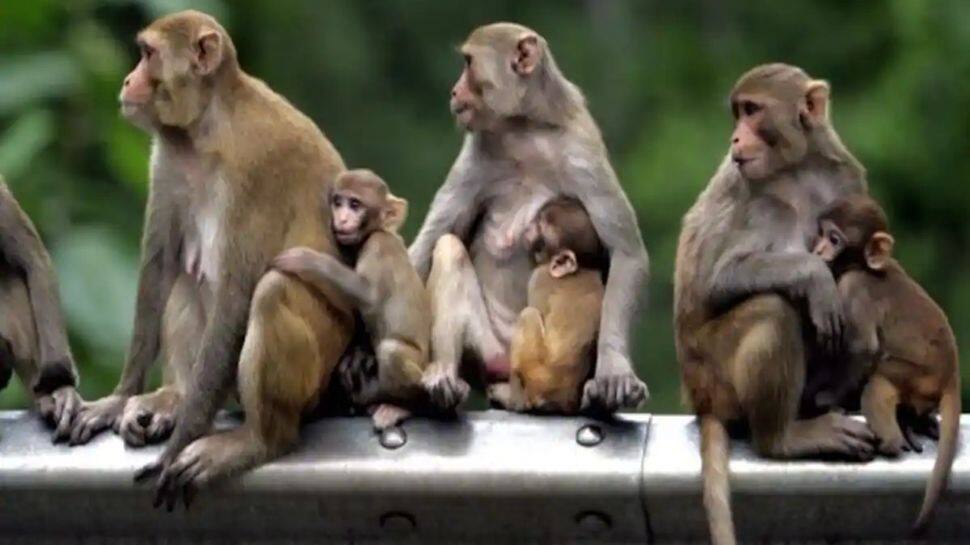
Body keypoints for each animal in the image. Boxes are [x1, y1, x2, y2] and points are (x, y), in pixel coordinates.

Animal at [66, 11, 354, 509]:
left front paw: (179, 445)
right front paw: (118, 398)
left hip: (315, 377)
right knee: (185, 279)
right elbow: (160, 265)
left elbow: (238, 292)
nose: (127, 80)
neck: (204, 129)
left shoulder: (256, 170)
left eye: (147, 55)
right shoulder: (167, 158)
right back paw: (175, 396)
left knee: (273, 291)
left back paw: (258, 440)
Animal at [273, 169, 430, 430]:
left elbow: (368, 295)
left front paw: (308, 261)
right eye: (338, 202)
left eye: (355, 205)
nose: (343, 218)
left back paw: (406, 407)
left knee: (392, 351)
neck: (378, 231)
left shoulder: (376, 247)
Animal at [488, 197, 605, 414]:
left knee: (528, 315)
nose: (529, 227)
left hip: (536, 374)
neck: (580, 269)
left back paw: (515, 401)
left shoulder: (539, 277)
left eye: (541, 225)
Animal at [674, 64, 878, 545]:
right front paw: (815, 276)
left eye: (752, 111)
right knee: (773, 308)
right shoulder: (757, 196)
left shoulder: (846, 182)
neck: (797, 168)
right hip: (714, 369)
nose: (735, 139)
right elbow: (718, 278)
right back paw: (782, 438)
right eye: (738, 113)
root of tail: (699, 396)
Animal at [812, 194, 960, 533]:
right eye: (822, 233)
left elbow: (864, 349)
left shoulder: (854, 287)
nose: (818, 249)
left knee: (878, 380)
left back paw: (890, 440)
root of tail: (952, 375)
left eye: (834, 239)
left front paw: (828, 398)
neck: (863, 266)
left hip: (916, 375)